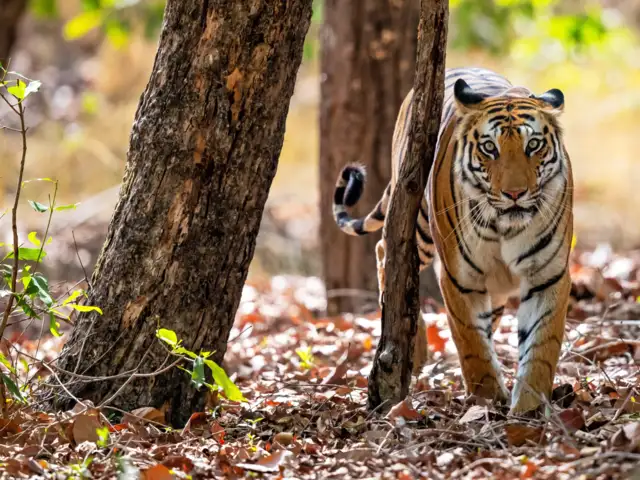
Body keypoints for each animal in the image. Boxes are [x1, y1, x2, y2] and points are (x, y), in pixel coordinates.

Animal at [332, 67, 573, 415]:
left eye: (534, 145)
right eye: (489, 148)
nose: (514, 194)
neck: (506, 228)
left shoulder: (547, 275)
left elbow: (541, 346)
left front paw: (529, 409)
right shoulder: (460, 278)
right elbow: (471, 343)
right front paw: (488, 399)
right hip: (417, 224)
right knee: (385, 253)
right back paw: (415, 351)